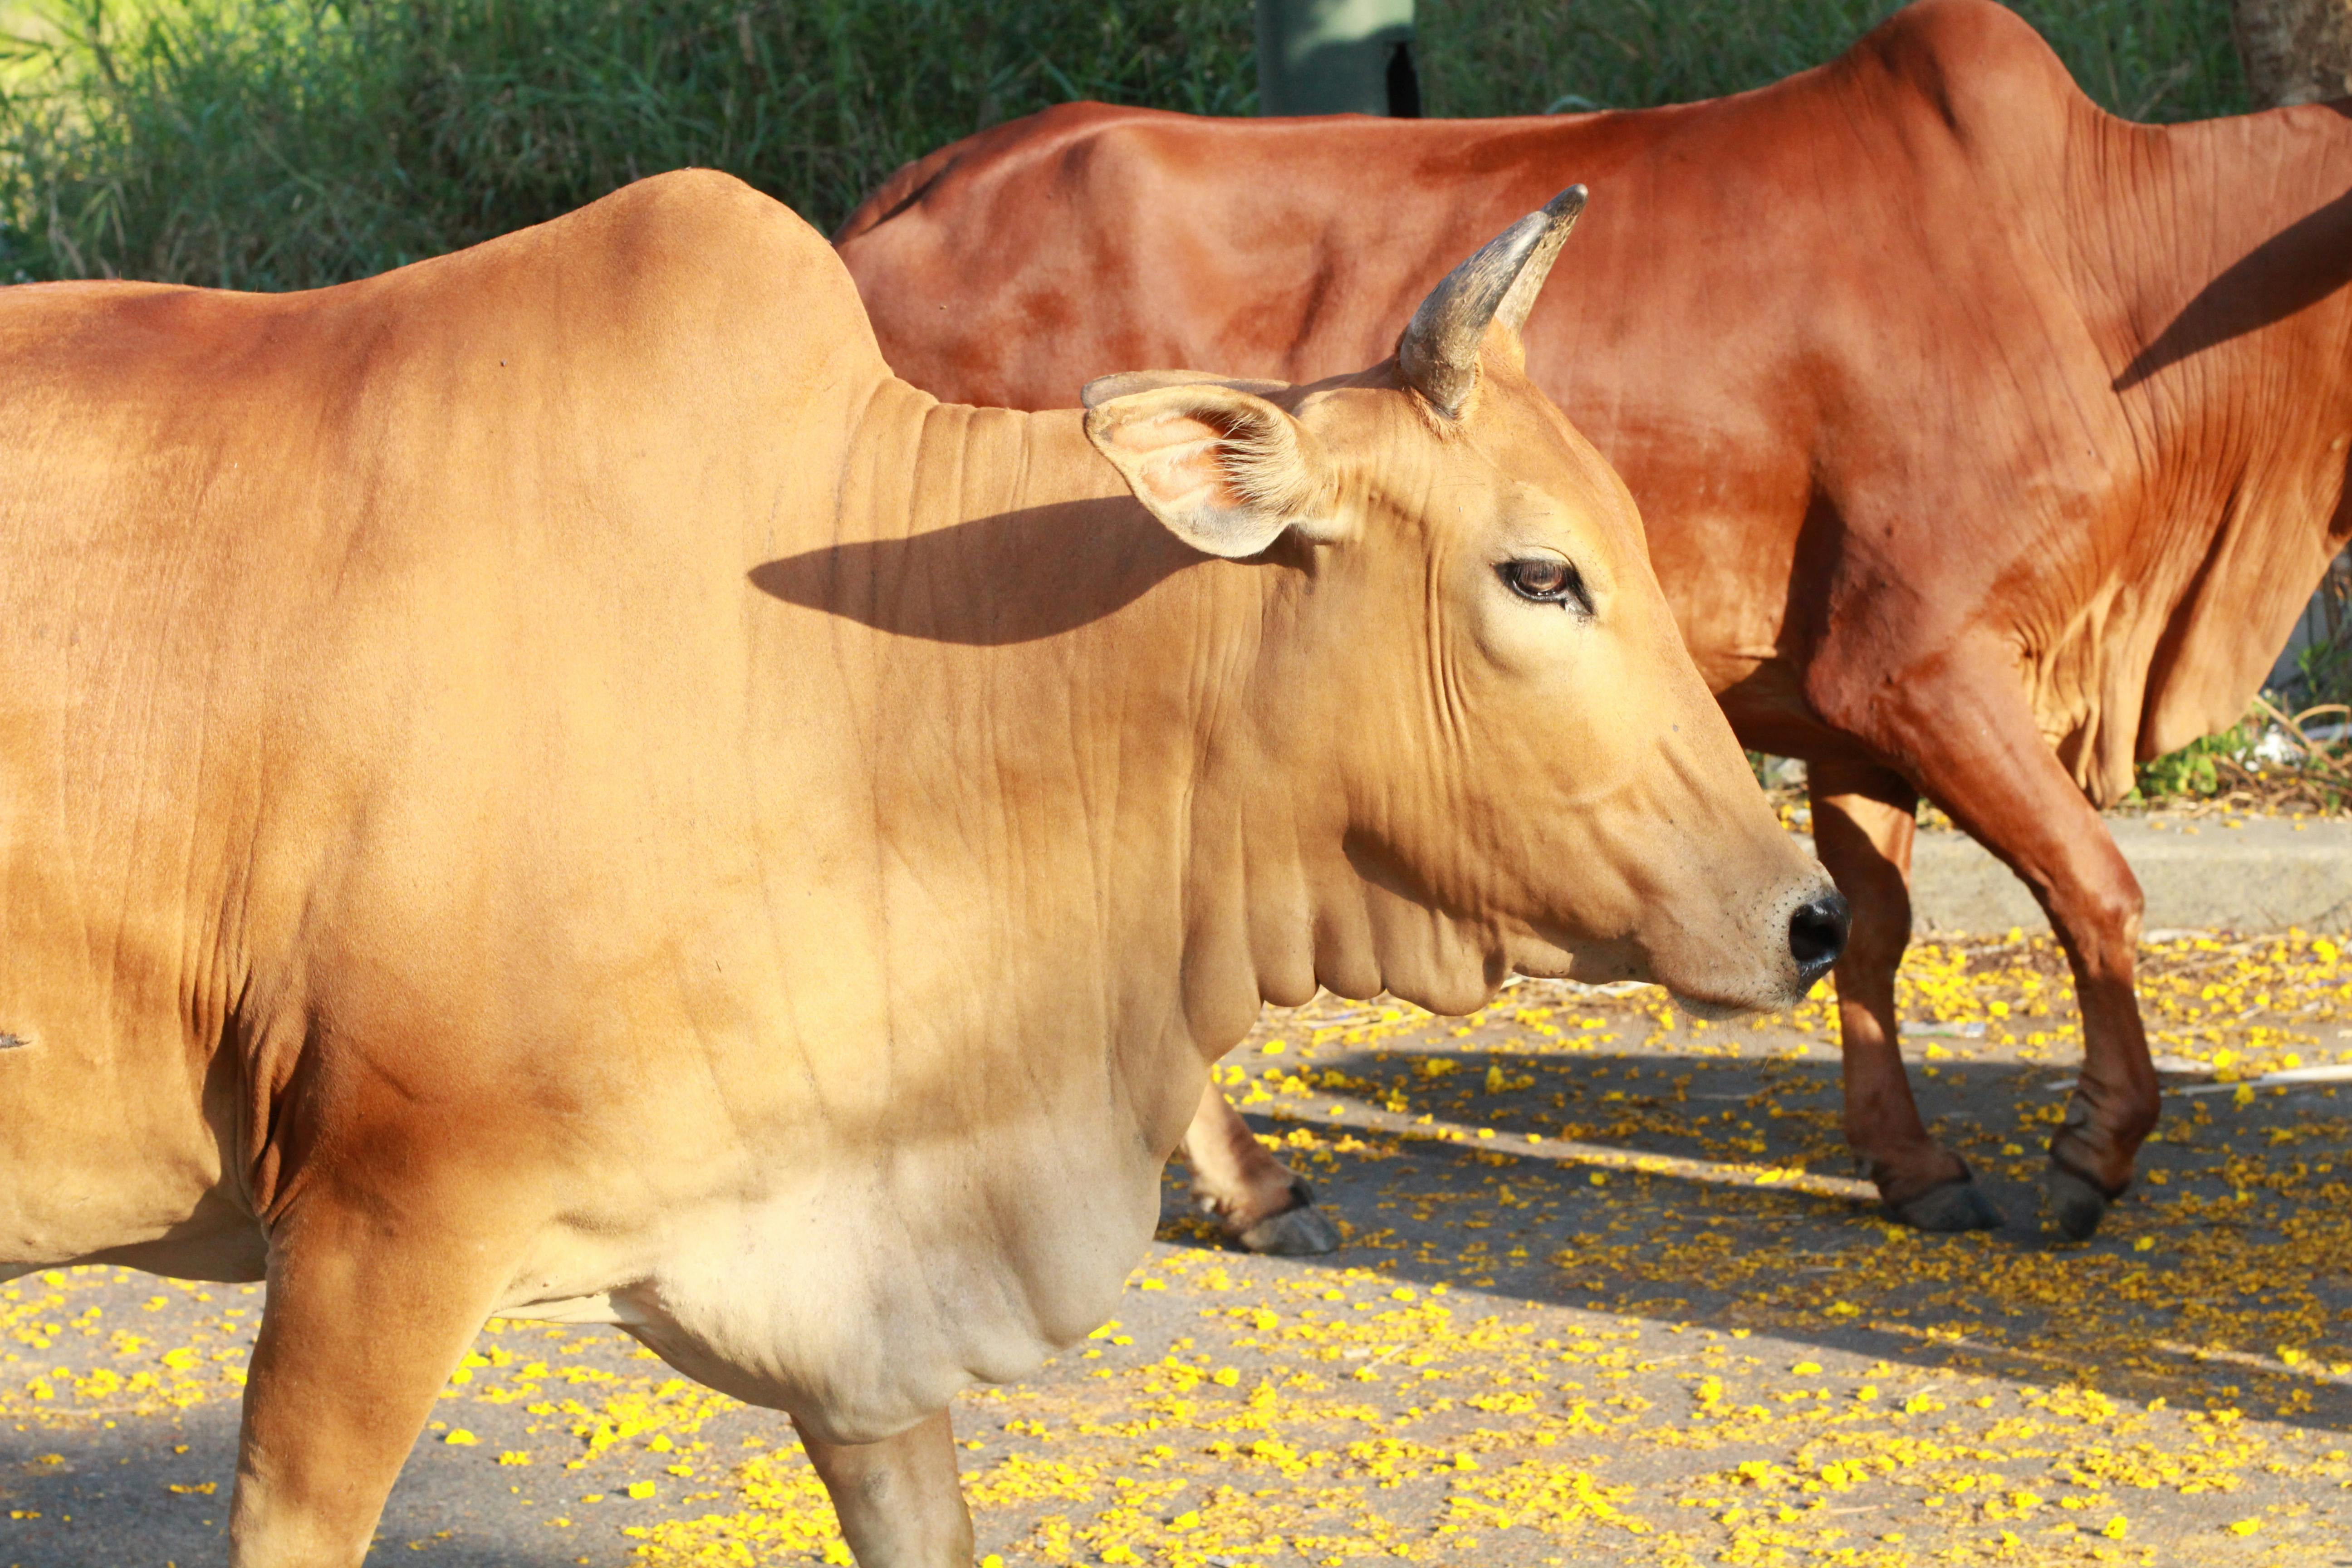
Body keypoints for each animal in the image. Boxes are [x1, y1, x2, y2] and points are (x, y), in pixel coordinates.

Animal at [836, 0, 2352, 1246]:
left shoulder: (1845, 709)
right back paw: (1242, 1186)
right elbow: (2098, 890)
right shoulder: (1920, 667)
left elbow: (1867, 927)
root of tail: (909, 196)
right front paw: (2092, 1154)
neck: (2095, 274)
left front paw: (1915, 1166)